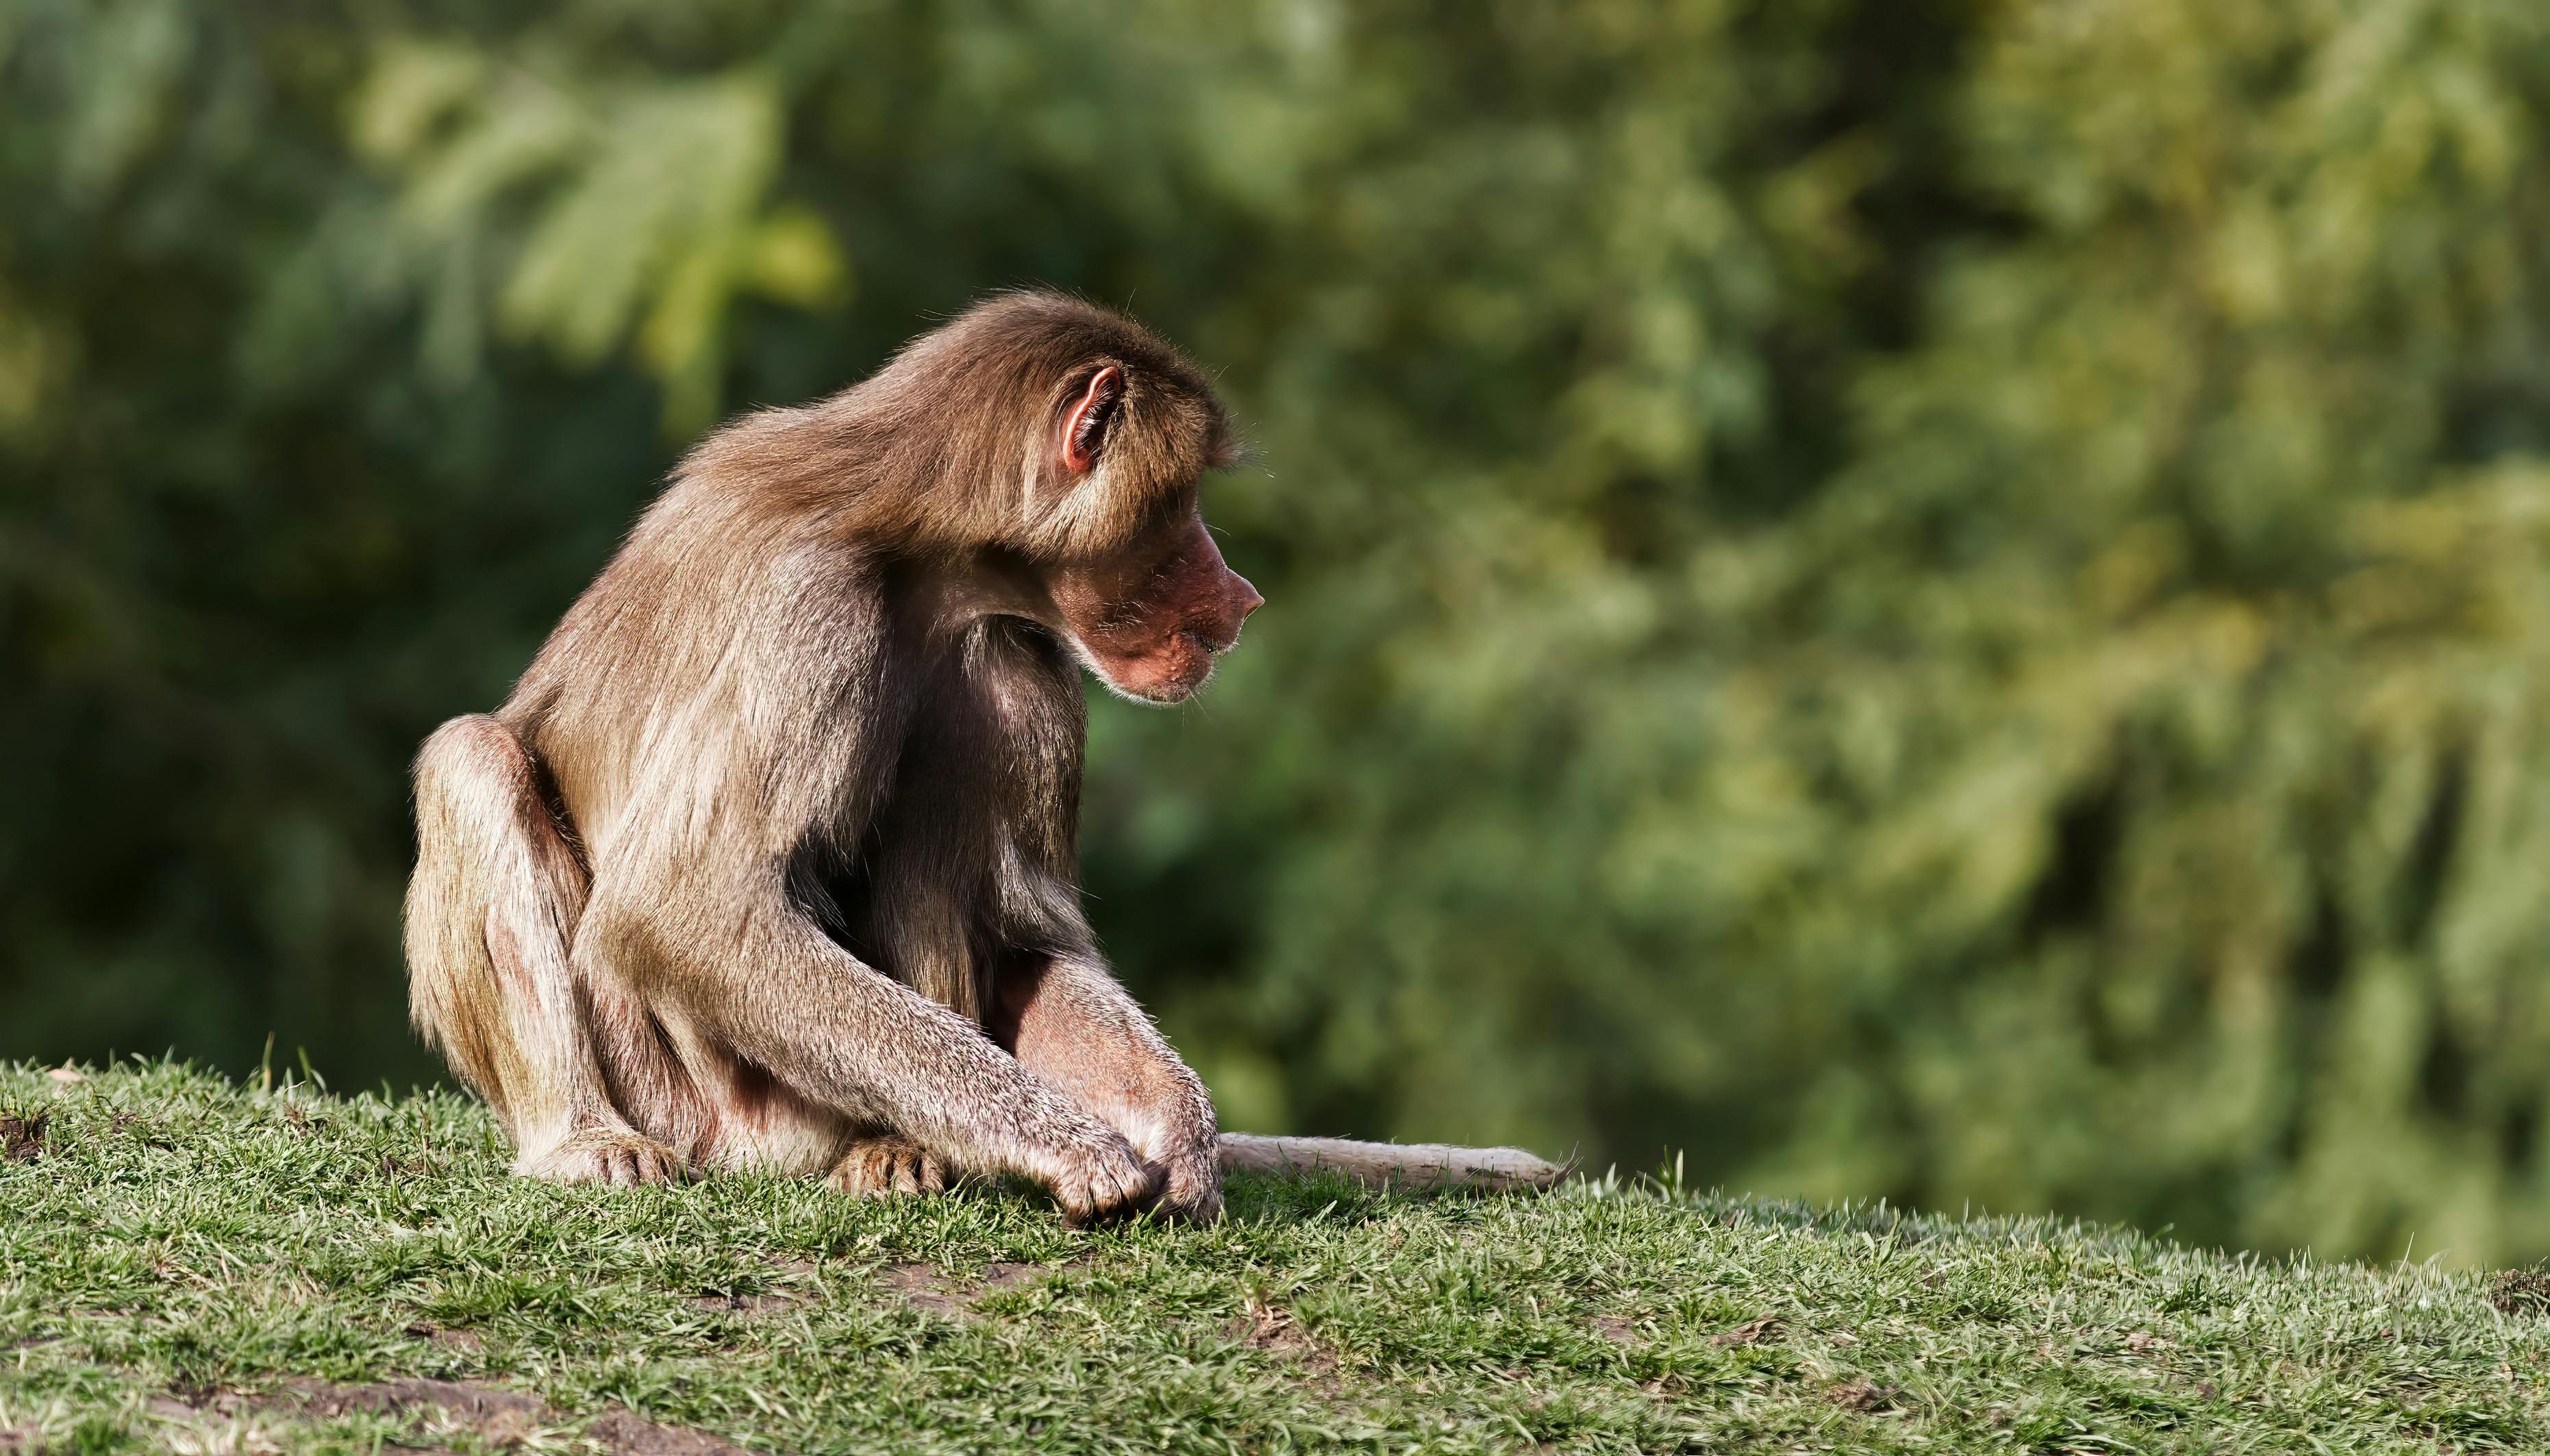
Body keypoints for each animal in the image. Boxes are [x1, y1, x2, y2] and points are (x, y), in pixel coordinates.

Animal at [405, 291, 1559, 1223]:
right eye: (1182, 504)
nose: (1240, 598)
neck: (916, 552)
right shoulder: (809, 612)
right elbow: (685, 906)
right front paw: (1073, 1143)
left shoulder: (1024, 662)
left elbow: (1016, 937)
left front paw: (1170, 1119)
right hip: (711, 1101)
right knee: (472, 758)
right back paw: (585, 1140)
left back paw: (901, 1149)